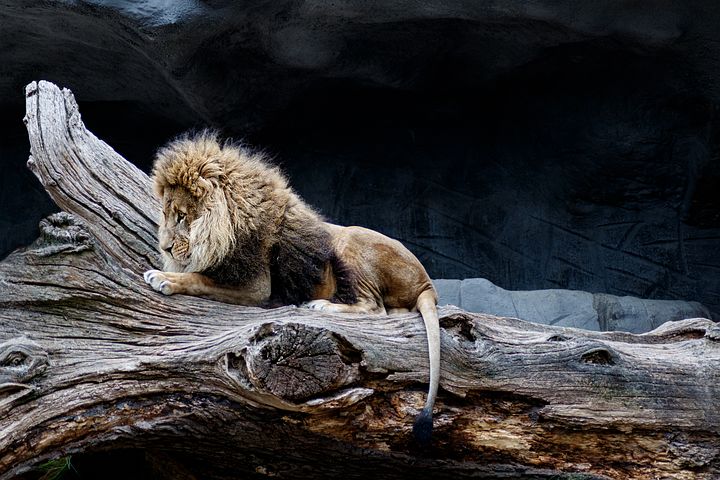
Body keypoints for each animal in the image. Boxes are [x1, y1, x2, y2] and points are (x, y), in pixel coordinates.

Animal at [143, 131, 440, 444]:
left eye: (181, 215)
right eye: (166, 214)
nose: (165, 247)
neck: (228, 224)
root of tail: (427, 283)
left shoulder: (256, 288)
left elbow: (198, 278)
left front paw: (163, 277)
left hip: (349, 240)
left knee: (375, 308)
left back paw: (323, 305)